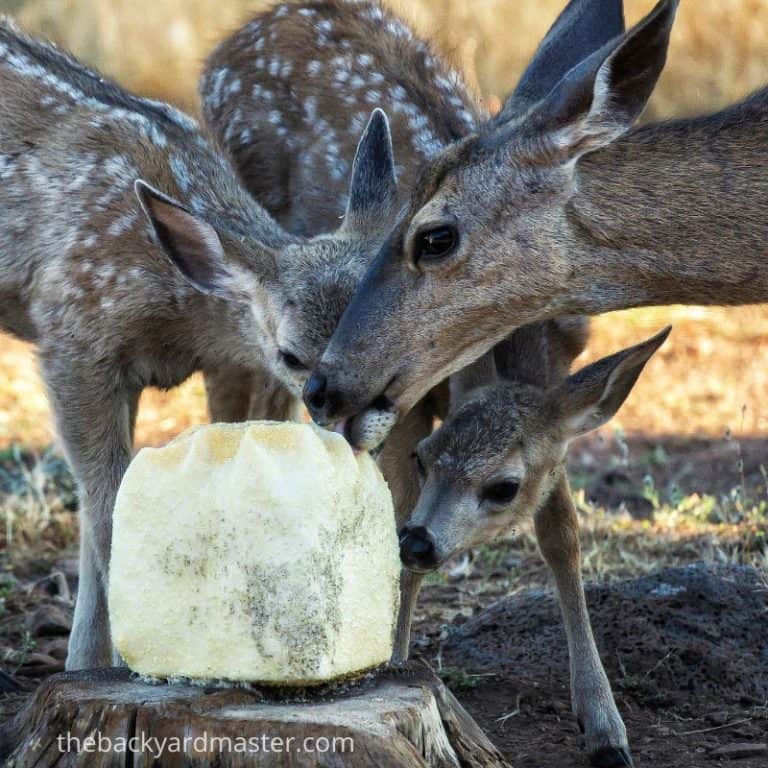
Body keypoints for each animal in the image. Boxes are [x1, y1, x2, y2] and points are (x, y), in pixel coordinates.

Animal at [399, 325, 669, 768]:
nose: (418, 543)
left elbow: (562, 535)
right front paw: (391, 664)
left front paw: (605, 729)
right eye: (421, 458)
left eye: (504, 487)